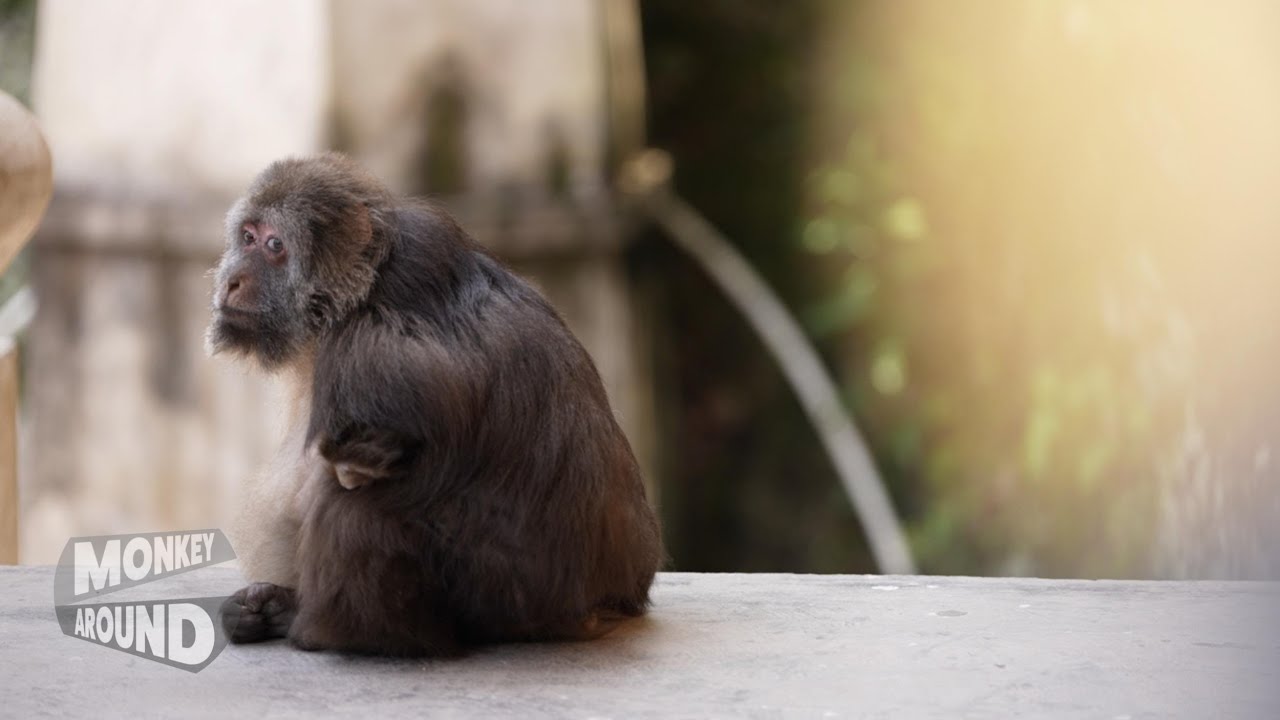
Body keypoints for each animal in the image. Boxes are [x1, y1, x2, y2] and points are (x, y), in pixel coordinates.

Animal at [207, 153, 662, 655]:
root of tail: (610, 602)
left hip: (506, 600)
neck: (355, 295)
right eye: (248, 237)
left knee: (357, 499)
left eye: (275, 246)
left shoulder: (365, 347)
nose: (232, 281)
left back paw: (323, 627)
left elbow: (377, 447)